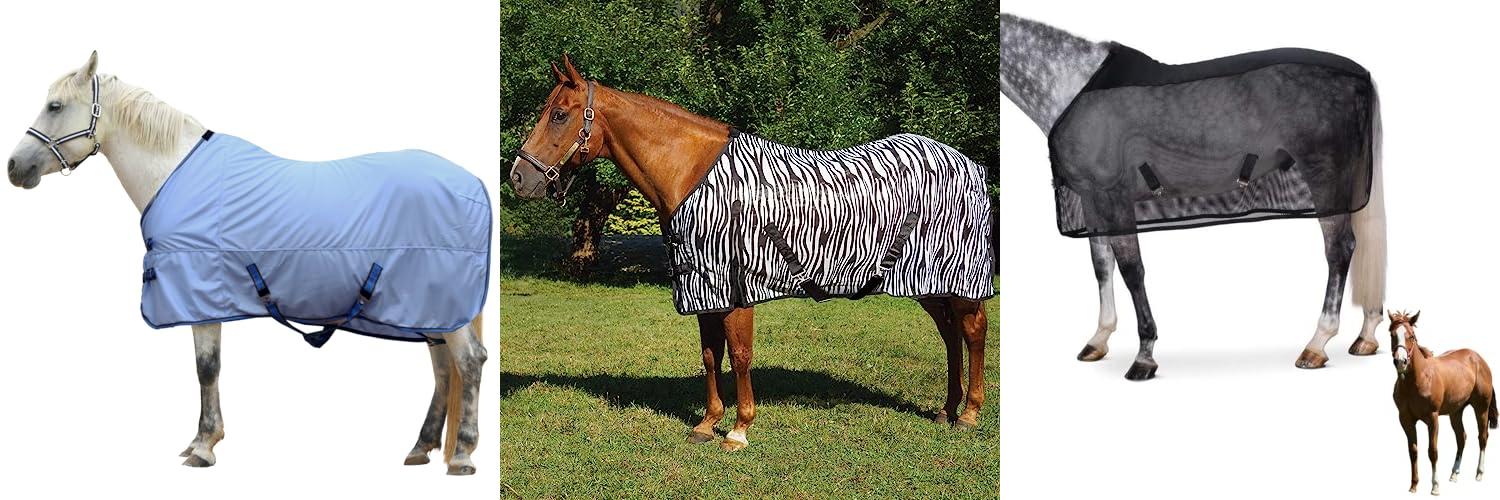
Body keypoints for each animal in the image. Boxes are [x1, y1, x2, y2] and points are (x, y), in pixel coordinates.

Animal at [5, 52, 488, 475]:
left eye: (54, 106)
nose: (13, 167)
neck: (174, 172)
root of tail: (474, 185)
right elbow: (208, 368)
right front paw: (201, 441)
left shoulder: (200, 297)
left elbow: (207, 368)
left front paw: (203, 447)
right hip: (429, 310)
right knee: (443, 368)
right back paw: (421, 448)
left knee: (469, 363)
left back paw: (462, 456)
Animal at [508, 54, 994, 451]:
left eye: (559, 115)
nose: (517, 177)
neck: (693, 174)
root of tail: (969, 163)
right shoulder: (703, 290)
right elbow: (710, 356)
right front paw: (707, 424)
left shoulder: (736, 289)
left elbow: (740, 356)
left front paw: (739, 430)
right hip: (927, 283)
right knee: (950, 335)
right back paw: (946, 410)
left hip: (957, 279)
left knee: (972, 332)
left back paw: (969, 414)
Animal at [999, 13, 1388, 380]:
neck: (1070, 85)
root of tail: (1361, 76)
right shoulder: (1092, 199)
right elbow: (1102, 266)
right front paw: (1099, 339)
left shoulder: (1114, 196)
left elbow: (1131, 269)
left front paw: (1144, 356)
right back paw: (1366, 336)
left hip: (1325, 174)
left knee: (1340, 249)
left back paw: (1317, 344)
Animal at [1388, 311, 1495, 495]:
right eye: (1392, 335)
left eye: (1411, 335)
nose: (1400, 362)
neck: (1418, 379)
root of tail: (1479, 359)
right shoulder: (1405, 419)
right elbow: (1413, 451)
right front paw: (1414, 485)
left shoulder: (1433, 418)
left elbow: (1433, 451)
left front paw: (1435, 486)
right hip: (1456, 412)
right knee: (1461, 438)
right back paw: (1454, 474)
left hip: (1481, 408)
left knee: (1482, 437)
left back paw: (1479, 473)